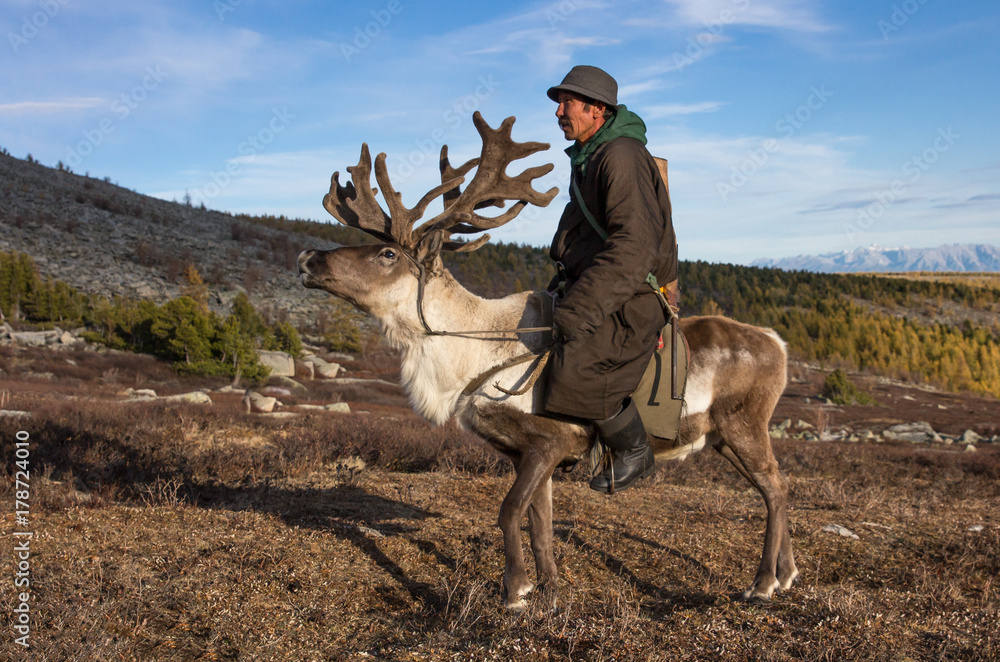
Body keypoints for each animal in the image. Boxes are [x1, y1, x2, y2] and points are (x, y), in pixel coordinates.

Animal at [298, 112, 798, 611]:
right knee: (775, 486)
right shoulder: (525, 453)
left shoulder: (550, 441)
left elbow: (508, 512)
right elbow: (540, 522)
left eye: (387, 254)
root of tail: (778, 343)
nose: (307, 256)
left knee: (774, 486)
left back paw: (762, 583)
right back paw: (786, 574)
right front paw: (550, 591)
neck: (474, 352)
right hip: (721, 438)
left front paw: (515, 590)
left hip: (743, 425)